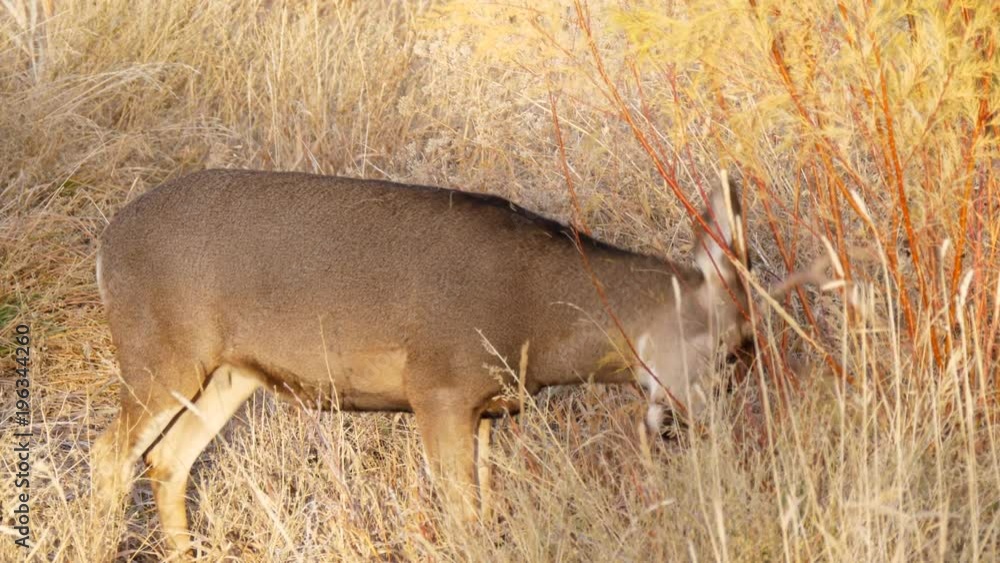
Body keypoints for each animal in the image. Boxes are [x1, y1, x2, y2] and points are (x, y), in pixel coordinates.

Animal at [91, 168, 754, 555]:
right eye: (731, 349)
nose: (706, 427)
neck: (539, 318)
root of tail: (107, 241)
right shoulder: (440, 387)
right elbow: (462, 522)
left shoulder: (486, 408)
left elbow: (483, 515)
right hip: (160, 351)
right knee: (110, 454)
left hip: (231, 373)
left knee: (168, 461)